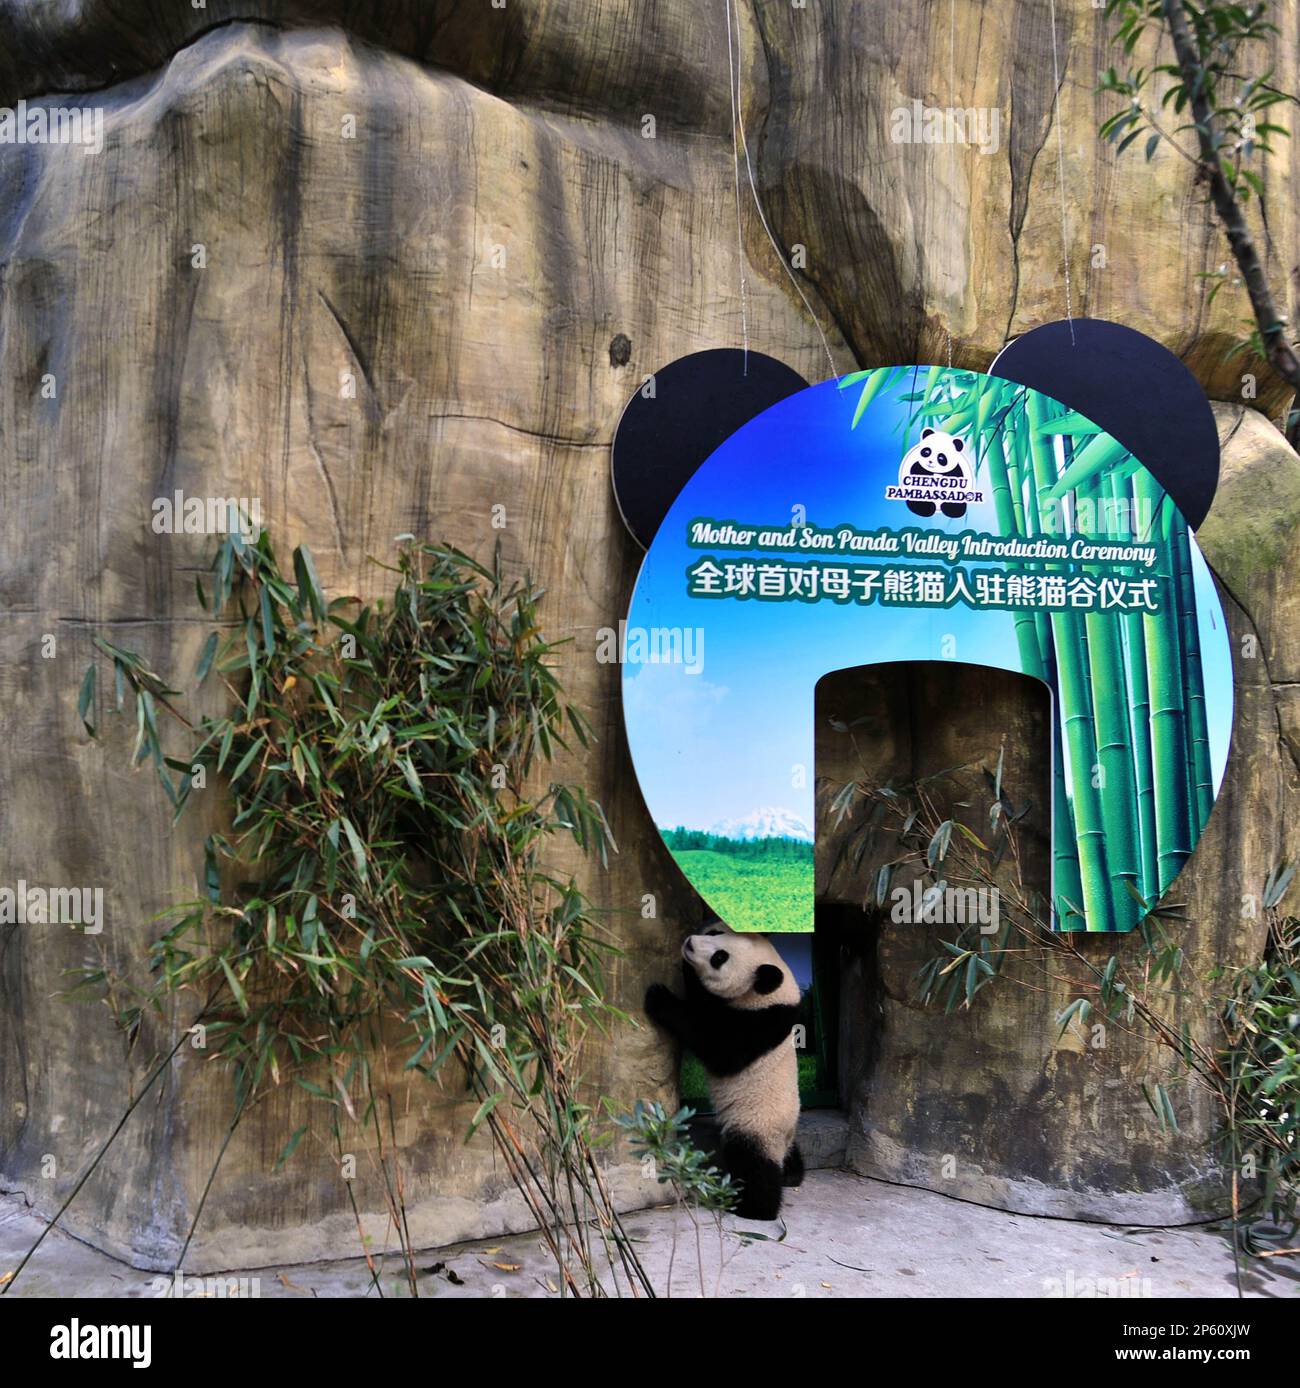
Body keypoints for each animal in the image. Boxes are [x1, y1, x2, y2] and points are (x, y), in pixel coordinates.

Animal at [644, 922, 803, 1220]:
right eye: (716, 933)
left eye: (720, 958)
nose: (691, 943)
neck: (774, 995)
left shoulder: (757, 1025)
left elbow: (715, 1046)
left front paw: (660, 997)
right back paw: (793, 1174)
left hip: (755, 1124)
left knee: (754, 1168)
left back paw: (753, 1208)